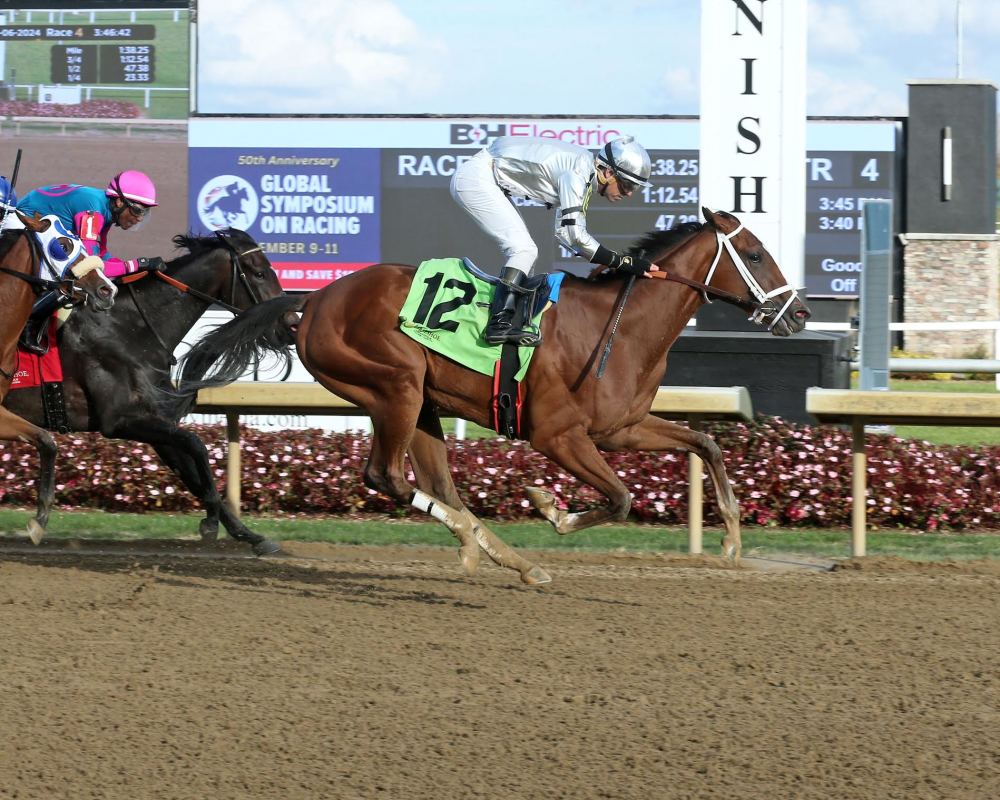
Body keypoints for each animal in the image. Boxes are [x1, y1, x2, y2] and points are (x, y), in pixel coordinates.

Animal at [169, 208, 812, 584]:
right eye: (756, 255)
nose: (800, 314)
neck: (618, 326)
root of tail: (314, 302)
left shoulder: (620, 428)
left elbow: (704, 441)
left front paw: (731, 537)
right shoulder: (558, 435)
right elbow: (622, 498)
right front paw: (549, 505)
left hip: (423, 405)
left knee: (436, 485)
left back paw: (503, 555)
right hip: (395, 386)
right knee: (388, 477)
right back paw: (490, 547)